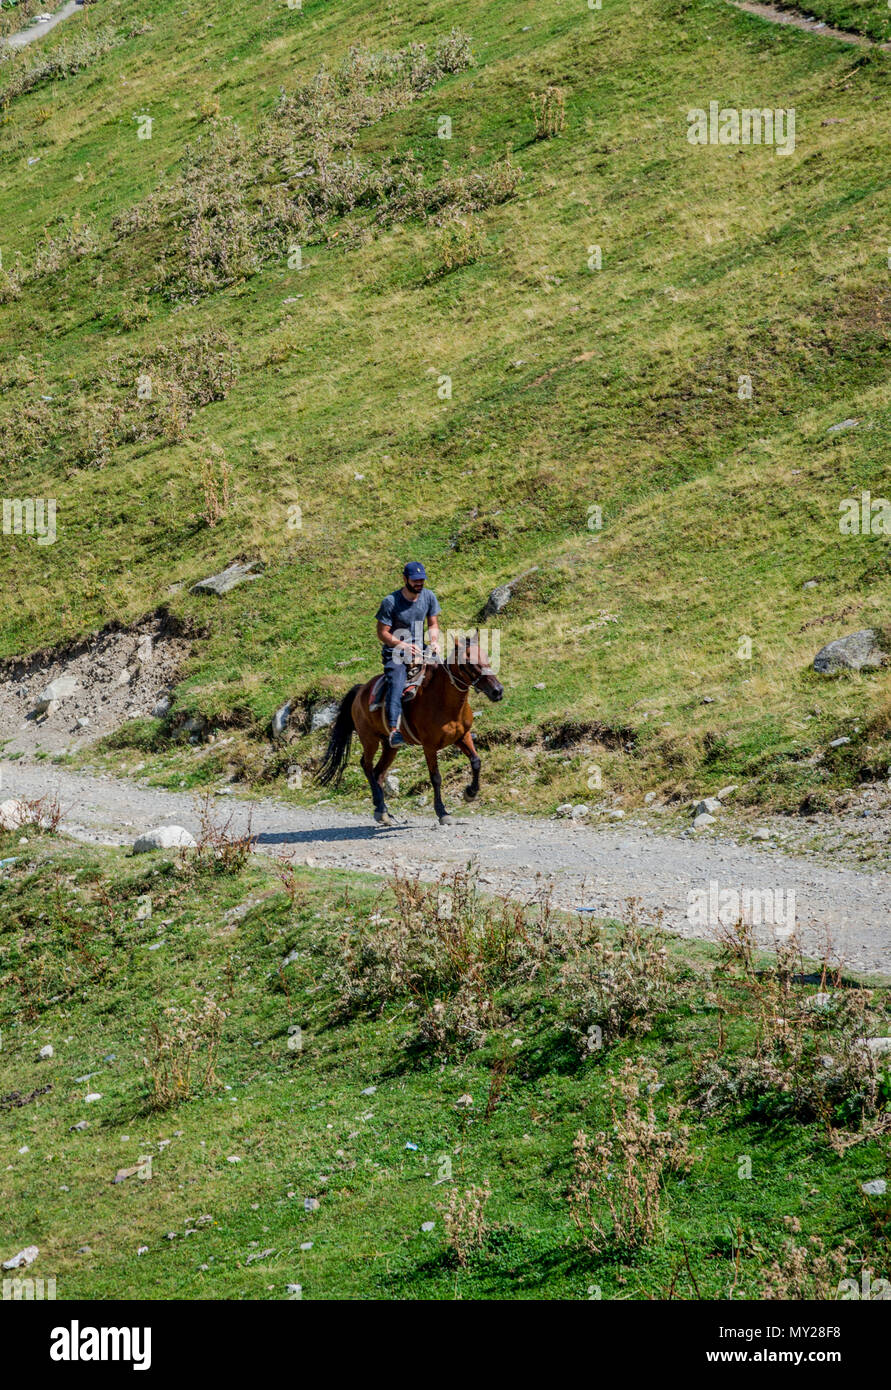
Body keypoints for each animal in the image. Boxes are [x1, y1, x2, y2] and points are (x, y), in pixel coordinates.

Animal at [316, 635, 503, 825]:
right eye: (469, 662)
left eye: (486, 656)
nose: (497, 691)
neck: (445, 703)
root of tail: (361, 689)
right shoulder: (429, 746)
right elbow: (436, 778)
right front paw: (442, 812)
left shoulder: (462, 736)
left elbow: (476, 761)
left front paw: (470, 793)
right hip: (369, 739)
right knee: (366, 765)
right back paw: (380, 808)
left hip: (390, 746)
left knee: (378, 773)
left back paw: (383, 811)